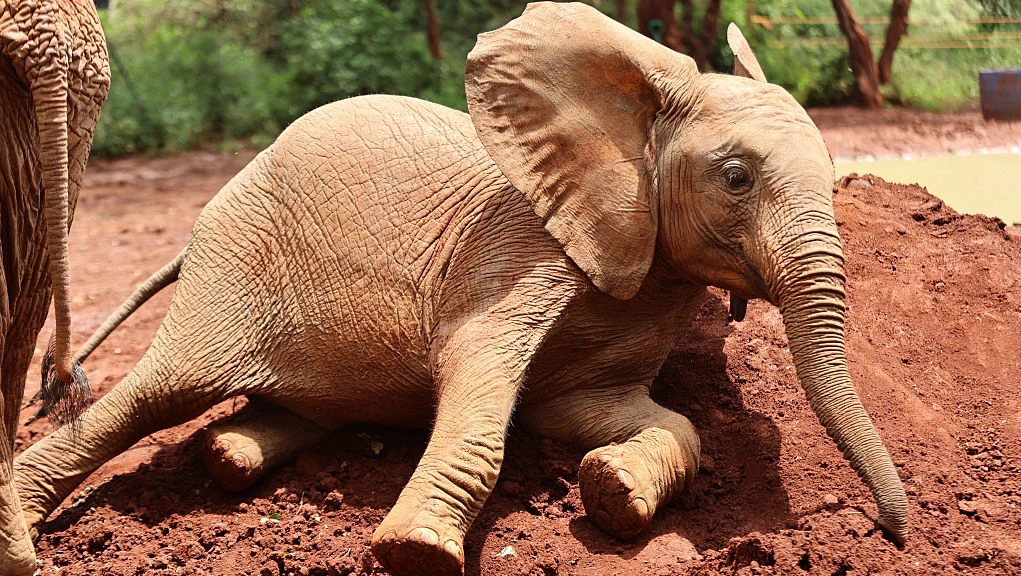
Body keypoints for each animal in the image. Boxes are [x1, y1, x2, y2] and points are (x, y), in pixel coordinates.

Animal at [14, 4, 907, 576]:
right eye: (735, 178)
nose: (886, 533)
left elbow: (632, 418)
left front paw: (613, 491)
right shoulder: (513, 254)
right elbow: (477, 379)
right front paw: (415, 554)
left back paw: (230, 459)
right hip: (230, 269)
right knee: (151, 396)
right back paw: (22, 534)